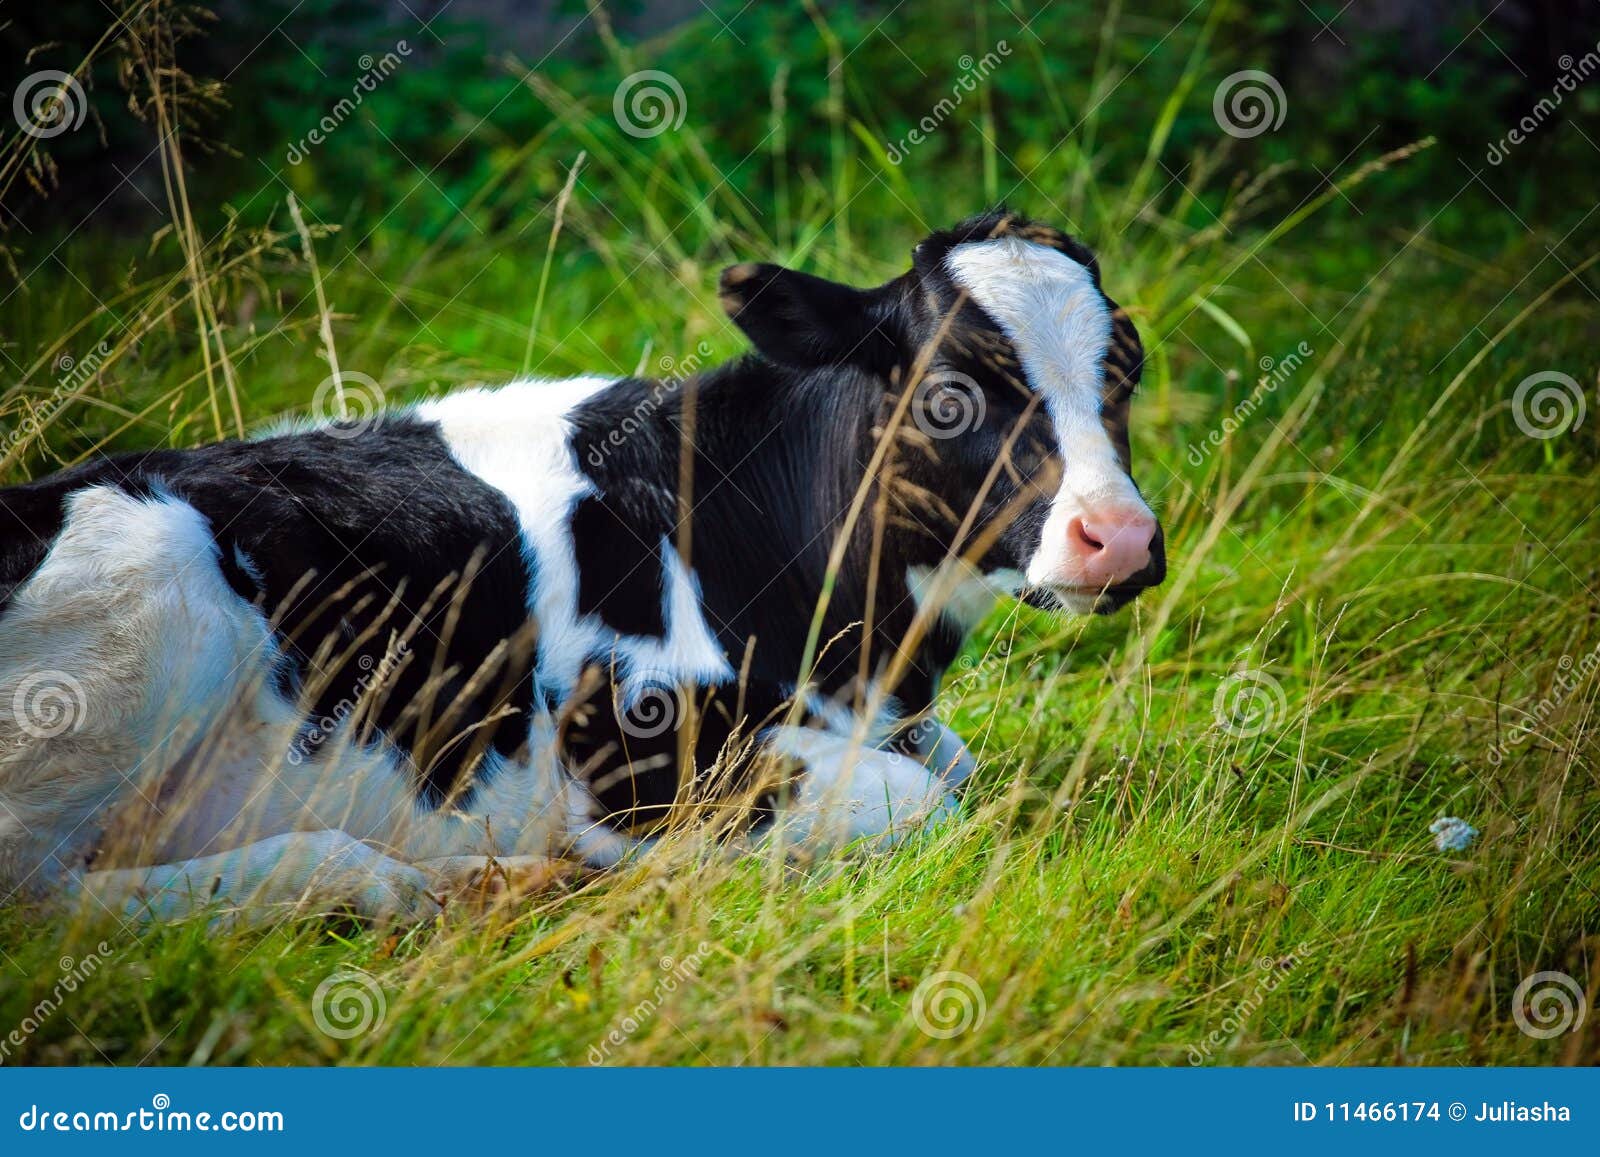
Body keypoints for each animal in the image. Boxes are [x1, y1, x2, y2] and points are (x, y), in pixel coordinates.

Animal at [0, 211, 1164, 923]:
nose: (1120, 536)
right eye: (947, 392)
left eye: (1127, 367)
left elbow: (951, 768)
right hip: (142, 613)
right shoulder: (632, 748)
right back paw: (385, 877)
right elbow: (923, 801)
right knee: (39, 895)